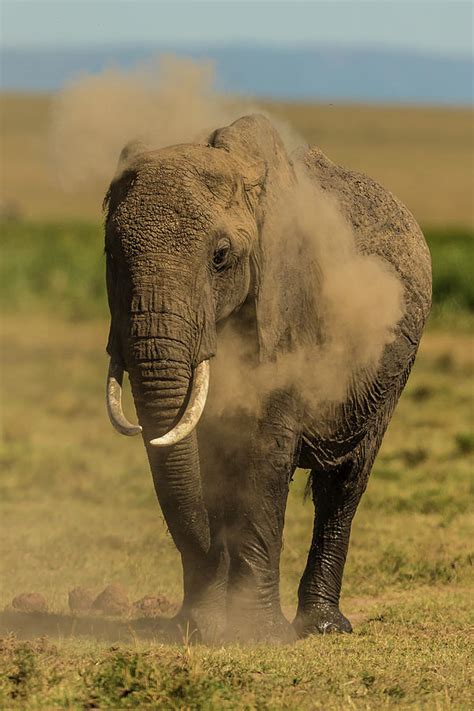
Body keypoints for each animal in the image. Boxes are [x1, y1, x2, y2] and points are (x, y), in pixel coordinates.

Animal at [103, 114, 431, 643]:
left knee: (344, 484)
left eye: (220, 257)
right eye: (111, 255)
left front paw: (255, 634)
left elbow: (266, 453)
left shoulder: (290, 306)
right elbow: (212, 456)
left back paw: (323, 627)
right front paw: (200, 627)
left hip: (393, 371)